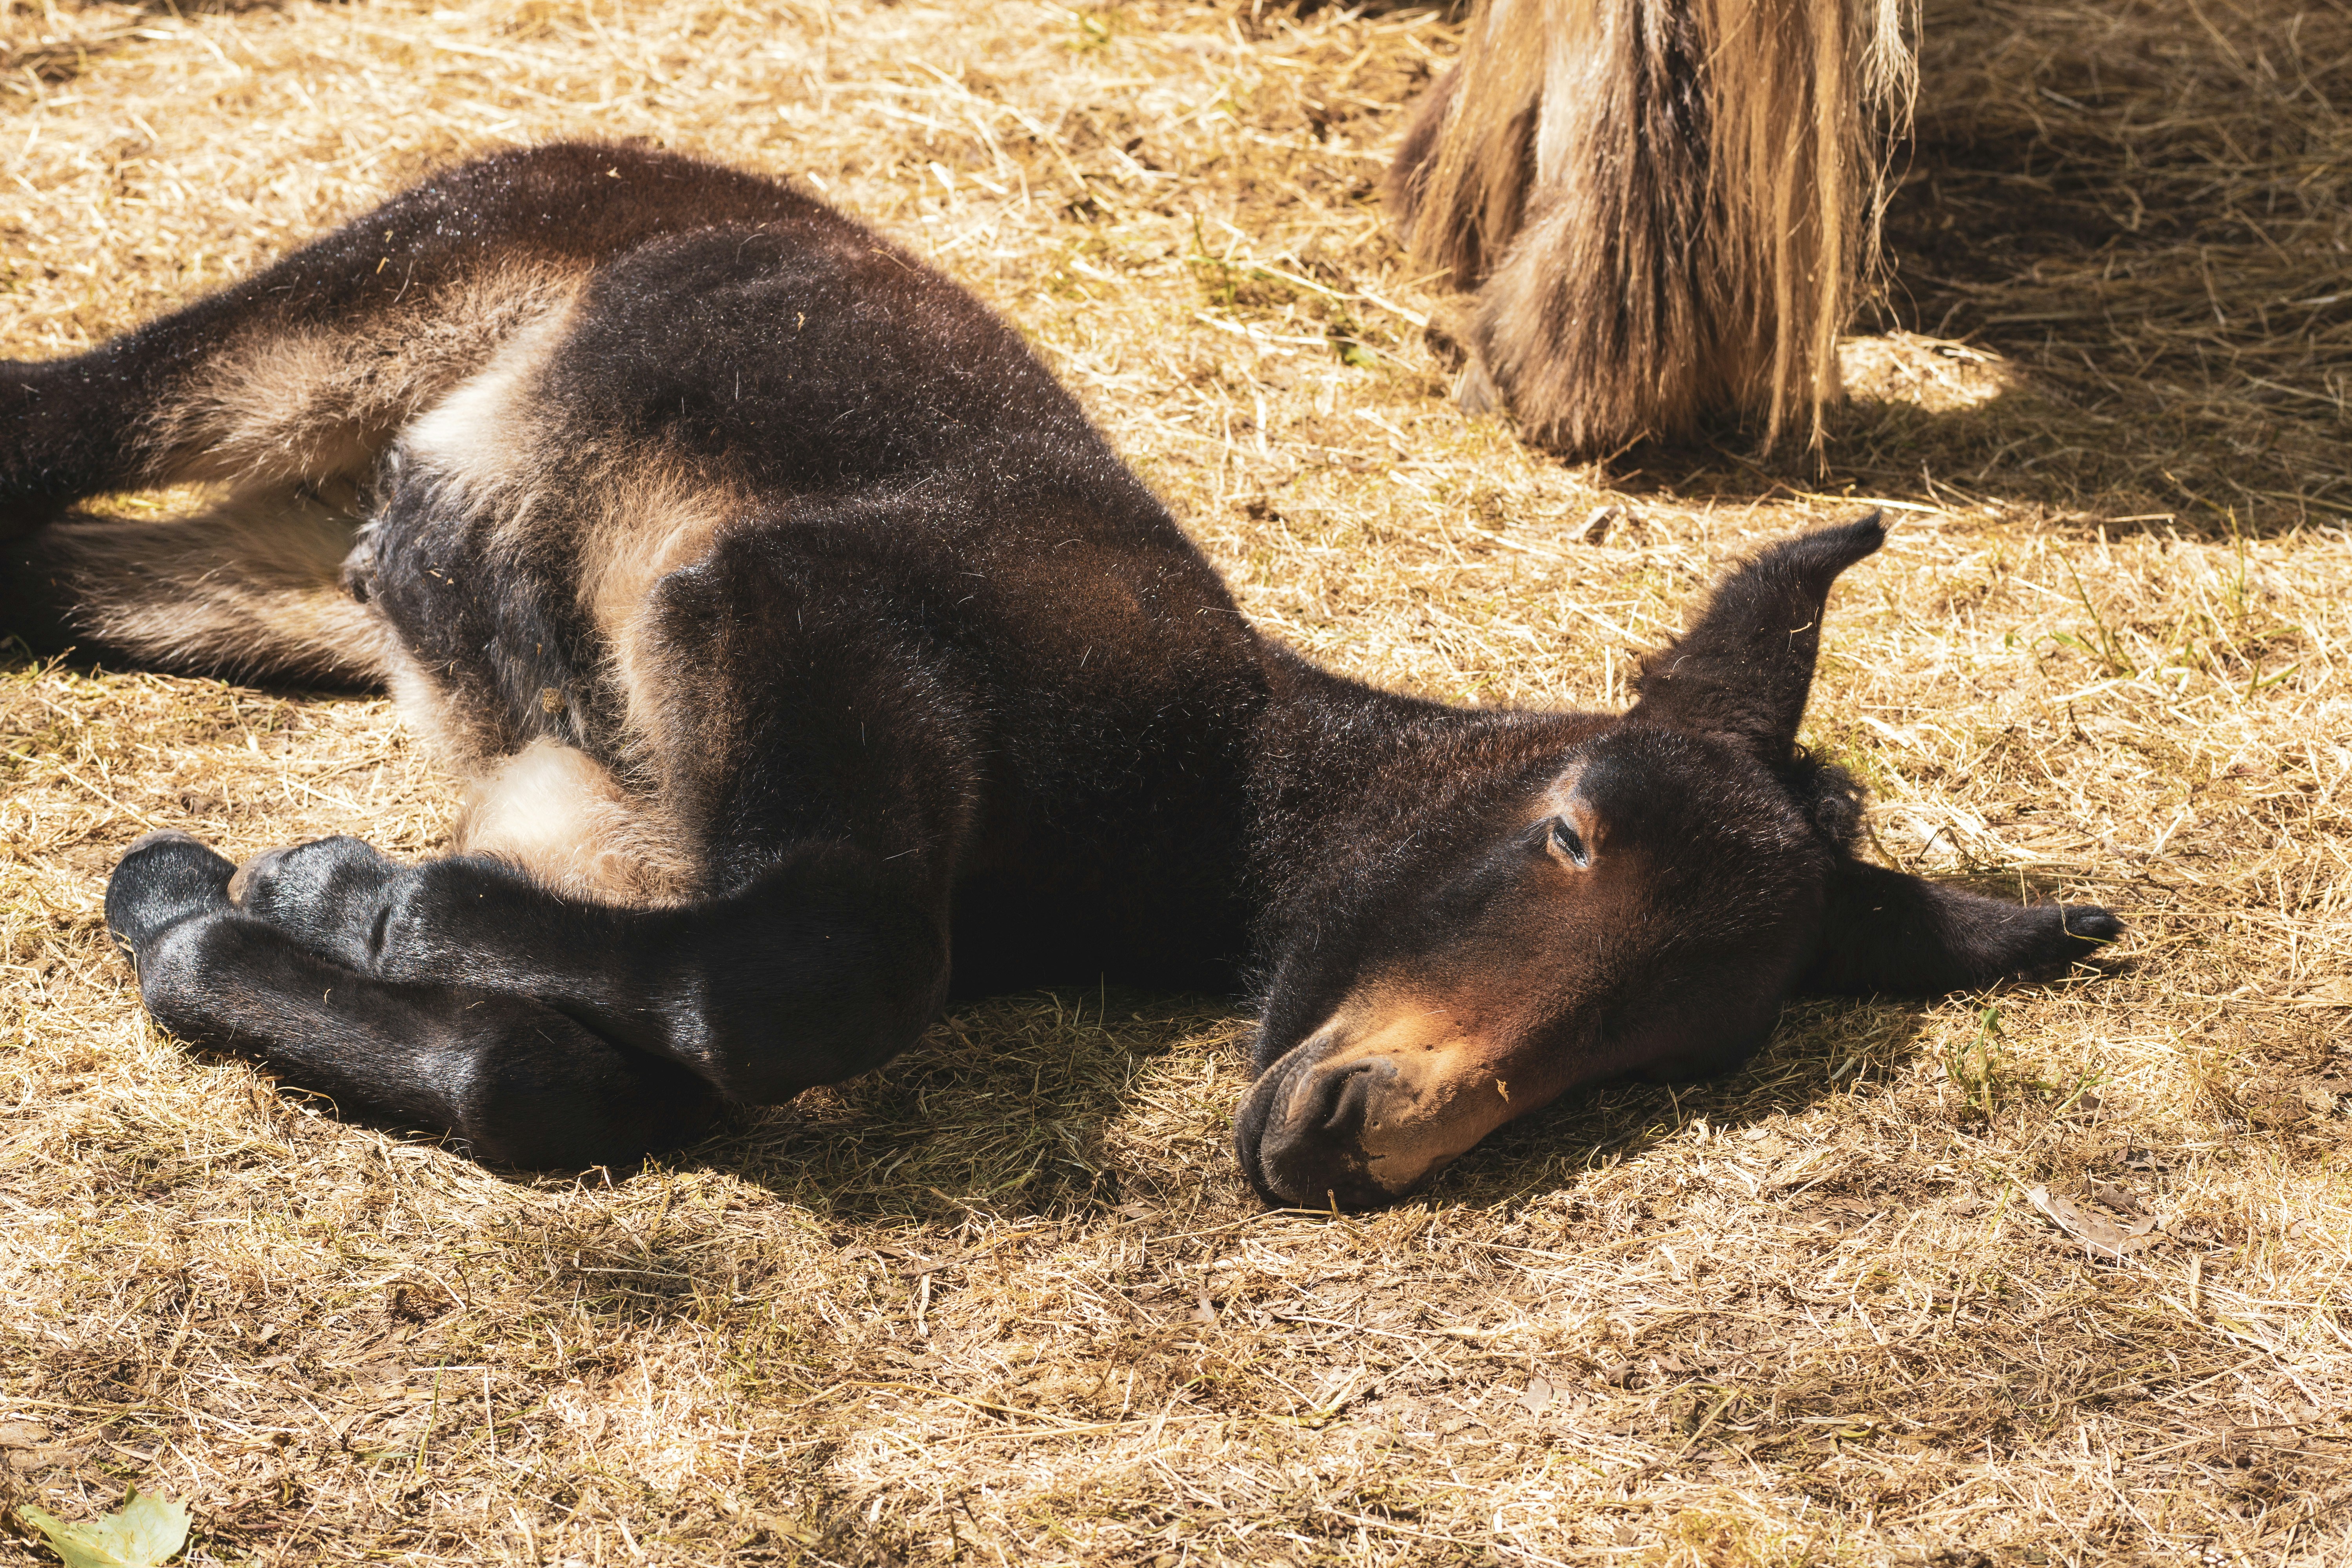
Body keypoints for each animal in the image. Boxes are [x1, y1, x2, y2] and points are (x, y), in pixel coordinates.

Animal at [0, 144, 2113, 1211]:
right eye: (1570, 825)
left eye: (1682, 1044)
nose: (1356, 1133)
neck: (1177, 811)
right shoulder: (776, 594)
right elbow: (814, 975)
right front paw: (354, 890)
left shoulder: (617, 829)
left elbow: (555, 1069)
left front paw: (216, 908)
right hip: (356, 311)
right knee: (57, 414)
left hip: (291, 573)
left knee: (73, 564)